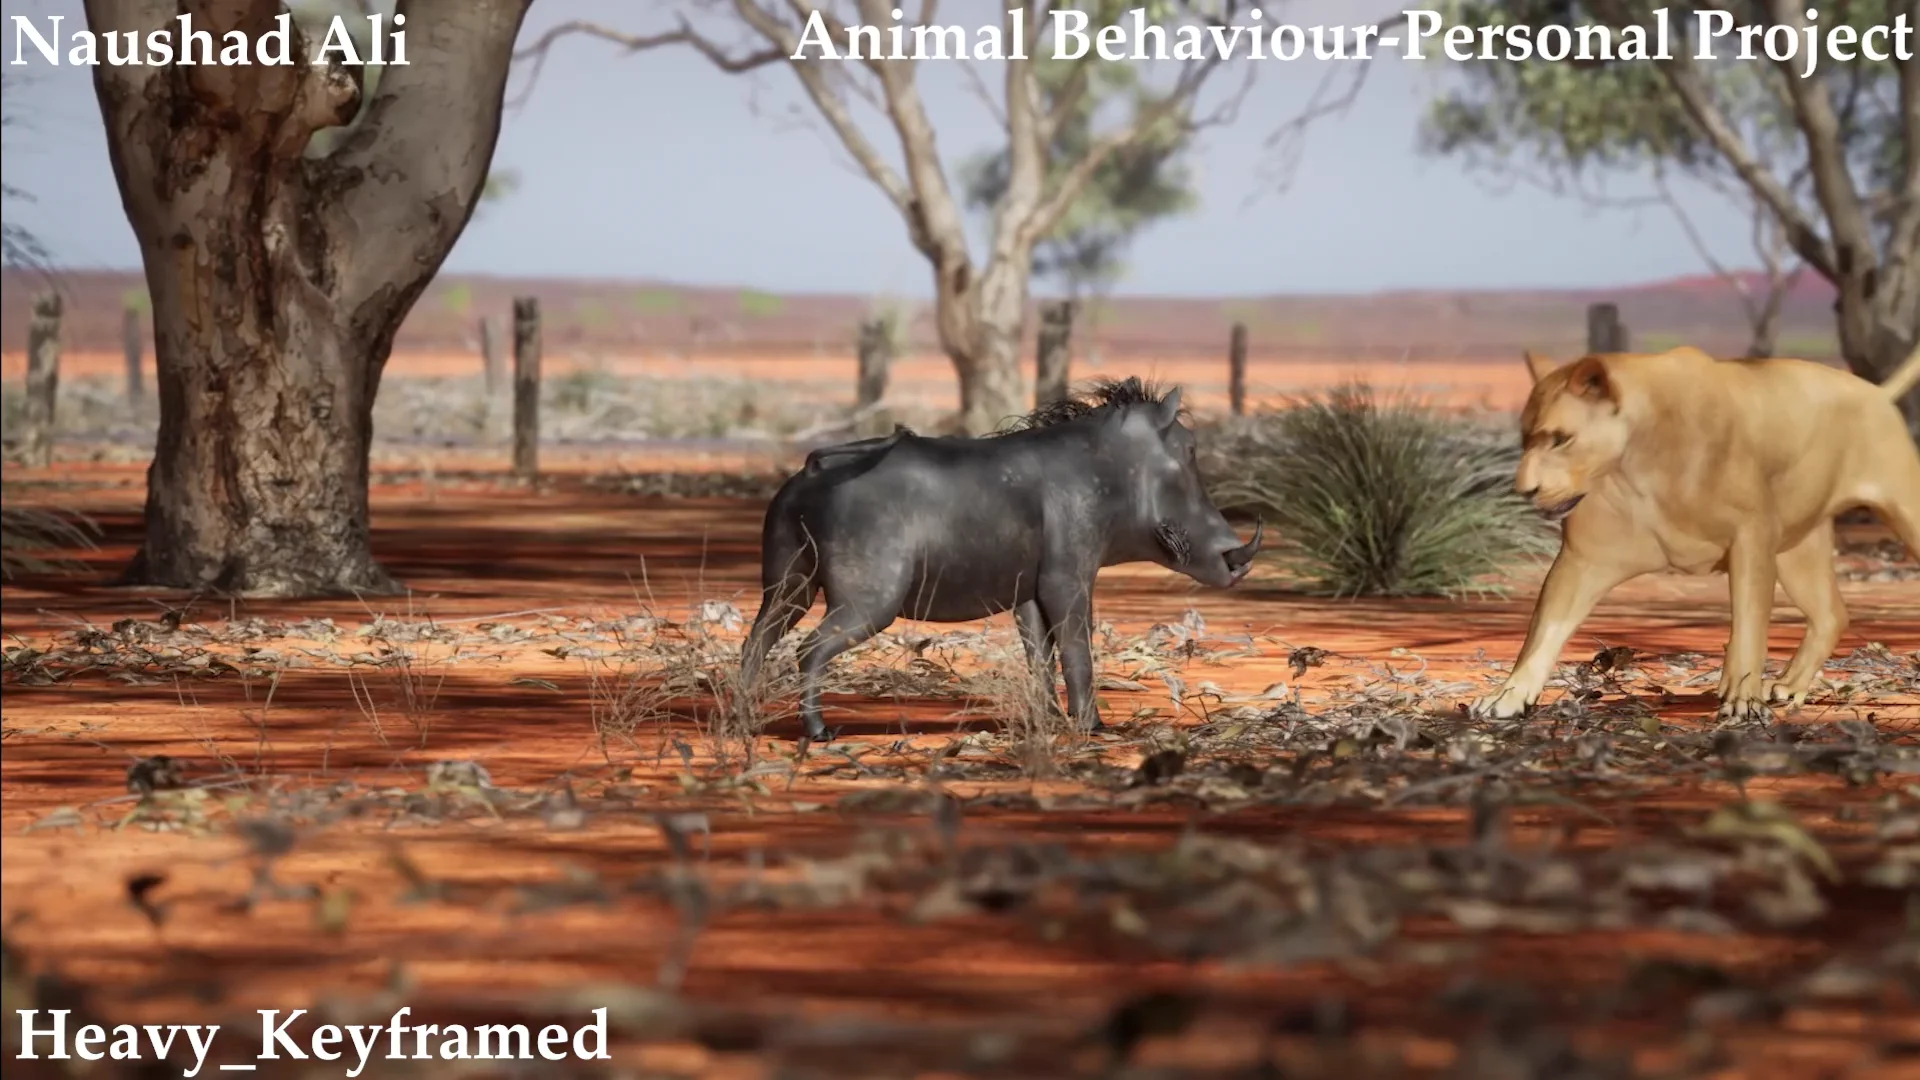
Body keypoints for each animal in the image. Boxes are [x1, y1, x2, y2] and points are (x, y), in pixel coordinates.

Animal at [1472, 344, 1920, 721]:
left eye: (1561, 439)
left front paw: (1743, 700)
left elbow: (1749, 625)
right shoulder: (1582, 561)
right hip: (1797, 552)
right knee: (1831, 615)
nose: (1524, 490)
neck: (1634, 465)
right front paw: (1507, 697)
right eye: (1525, 438)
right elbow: (1541, 635)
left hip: (1897, 516)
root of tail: (1876, 392)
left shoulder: (1750, 539)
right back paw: (1788, 686)